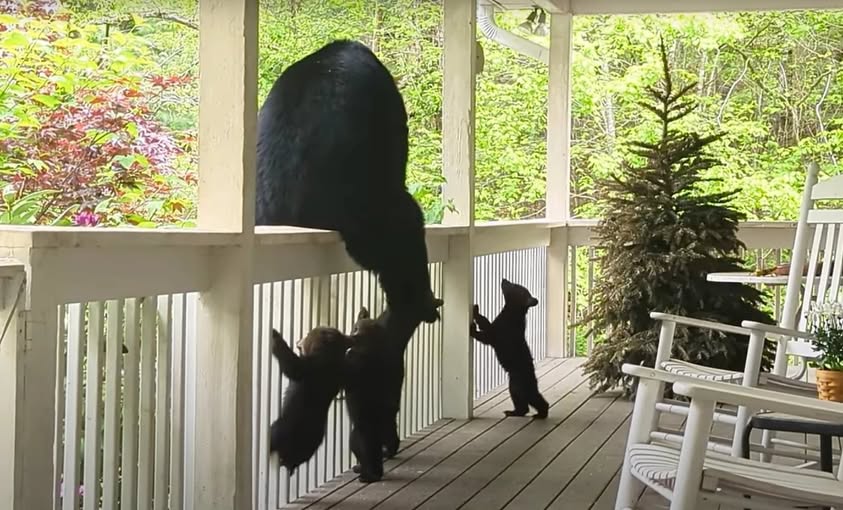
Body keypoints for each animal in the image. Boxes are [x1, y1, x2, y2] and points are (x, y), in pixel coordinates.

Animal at [269, 327, 351, 474]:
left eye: (308, 334)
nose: (297, 342)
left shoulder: (311, 368)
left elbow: (292, 366)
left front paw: (275, 335)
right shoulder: (340, 373)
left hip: (285, 427)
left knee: (274, 434)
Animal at [343, 307, 396, 483]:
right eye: (355, 327)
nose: (353, 336)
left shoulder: (356, 363)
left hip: (368, 429)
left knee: (369, 449)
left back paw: (370, 475)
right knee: (360, 447)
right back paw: (362, 468)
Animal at [470, 279, 549, 419]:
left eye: (515, 286)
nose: (504, 279)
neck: (513, 312)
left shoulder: (499, 331)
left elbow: (486, 332)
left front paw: (475, 317)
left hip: (517, 384)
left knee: (525, 400)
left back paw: (524, 412)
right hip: (522, 385)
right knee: (533, 398)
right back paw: (536, 412)